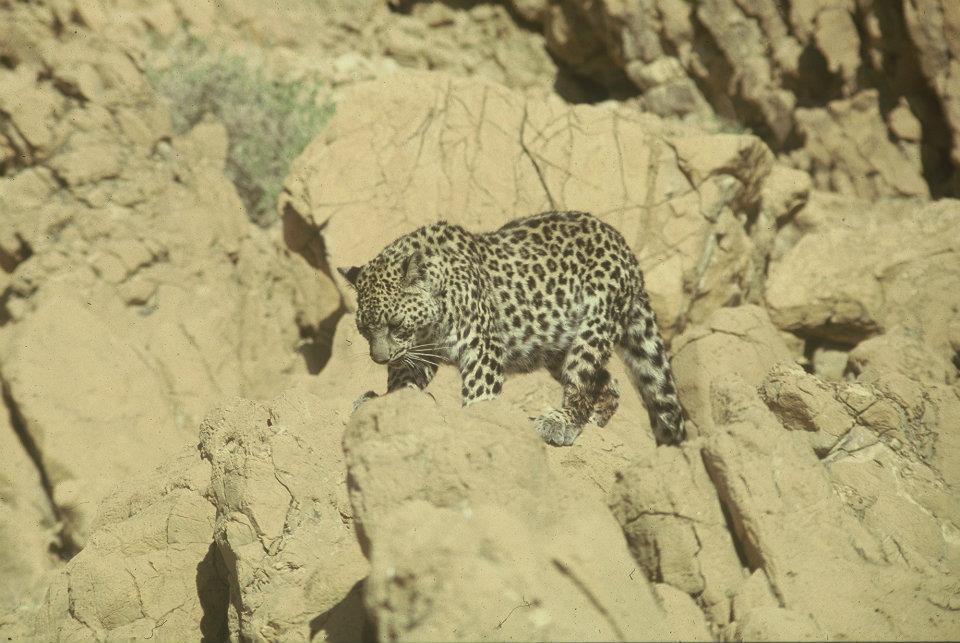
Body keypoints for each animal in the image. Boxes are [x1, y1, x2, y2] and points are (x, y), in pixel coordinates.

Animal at [338, 210, 685, 447]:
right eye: (364, 330)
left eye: (395, 325)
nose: (379, 359)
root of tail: (626, 251)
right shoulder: (419, 352)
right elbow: (402, 380)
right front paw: (385, 404)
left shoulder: (481, 347)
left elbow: (479, 393)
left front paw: (478, 422)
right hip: (557, 346)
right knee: (608, 382)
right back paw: (597, 418)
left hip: (593, 328)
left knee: (581, 381)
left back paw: (562, 422)